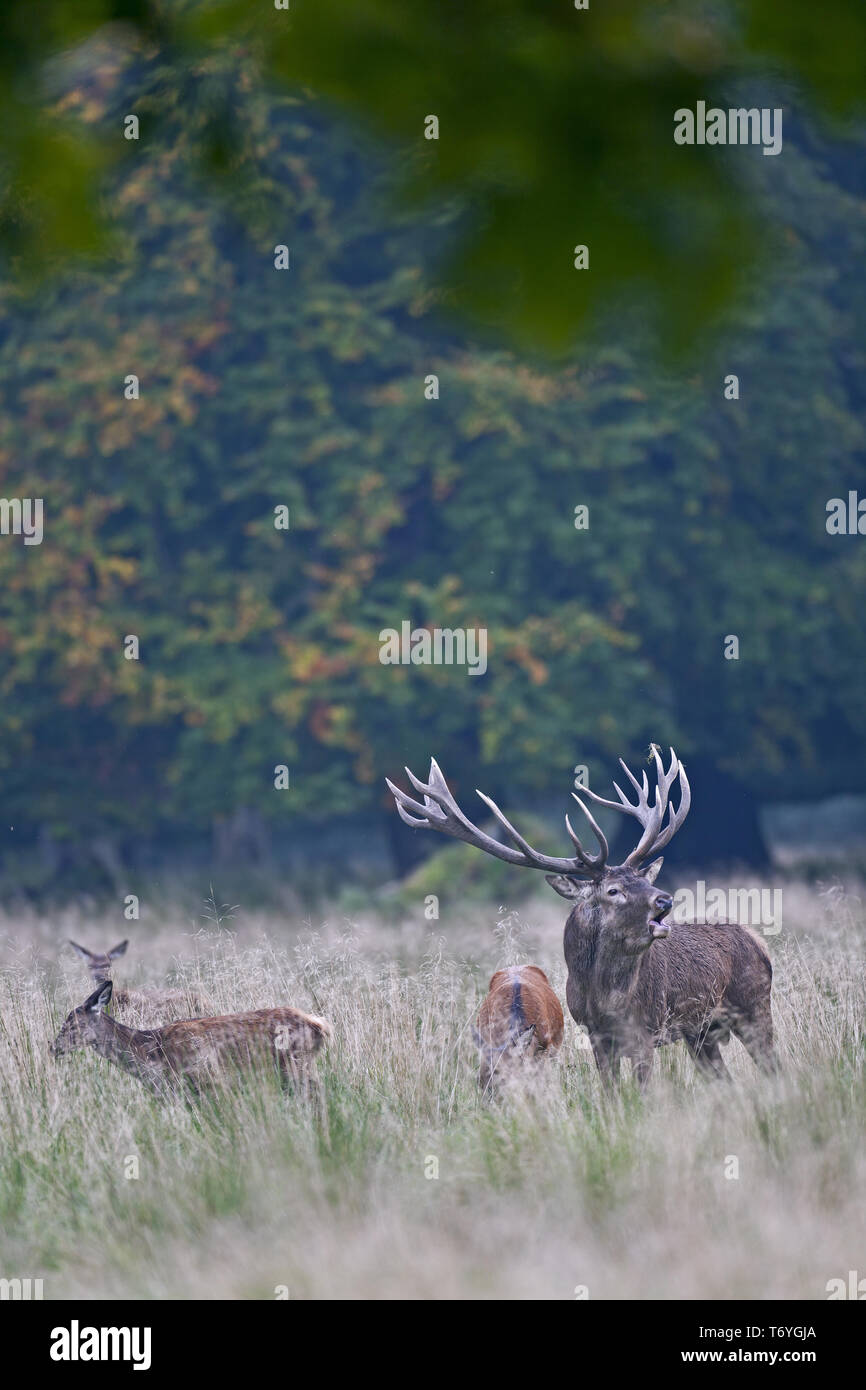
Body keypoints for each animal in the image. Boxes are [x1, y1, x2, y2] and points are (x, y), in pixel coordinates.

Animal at [386, 748, 776, 1088]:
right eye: (614, 890)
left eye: (642, 879)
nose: (664, 900)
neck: (605, 1000)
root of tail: (758, 941)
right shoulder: (596, 1036)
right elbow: (610, 1092)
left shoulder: (645, 1031)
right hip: (702, 1033)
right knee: (723, 1080)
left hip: (754, 1006)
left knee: (774, 1067)